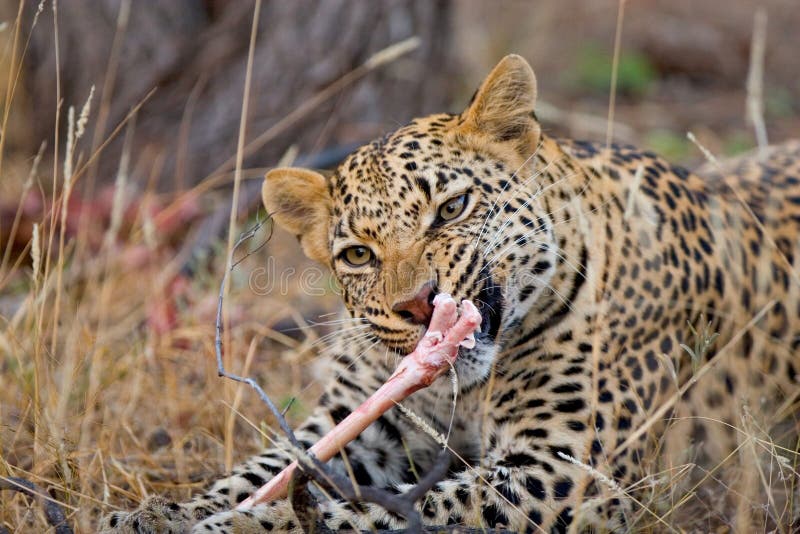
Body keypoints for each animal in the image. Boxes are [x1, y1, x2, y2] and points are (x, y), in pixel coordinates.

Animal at [101, 55, 800, 533]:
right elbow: (270, 468)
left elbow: (384, 516)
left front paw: (246, 524)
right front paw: (158, 513)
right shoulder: (366, 422)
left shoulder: (567, 472)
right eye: (358, 255)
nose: (418, 306)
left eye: (452, 209)